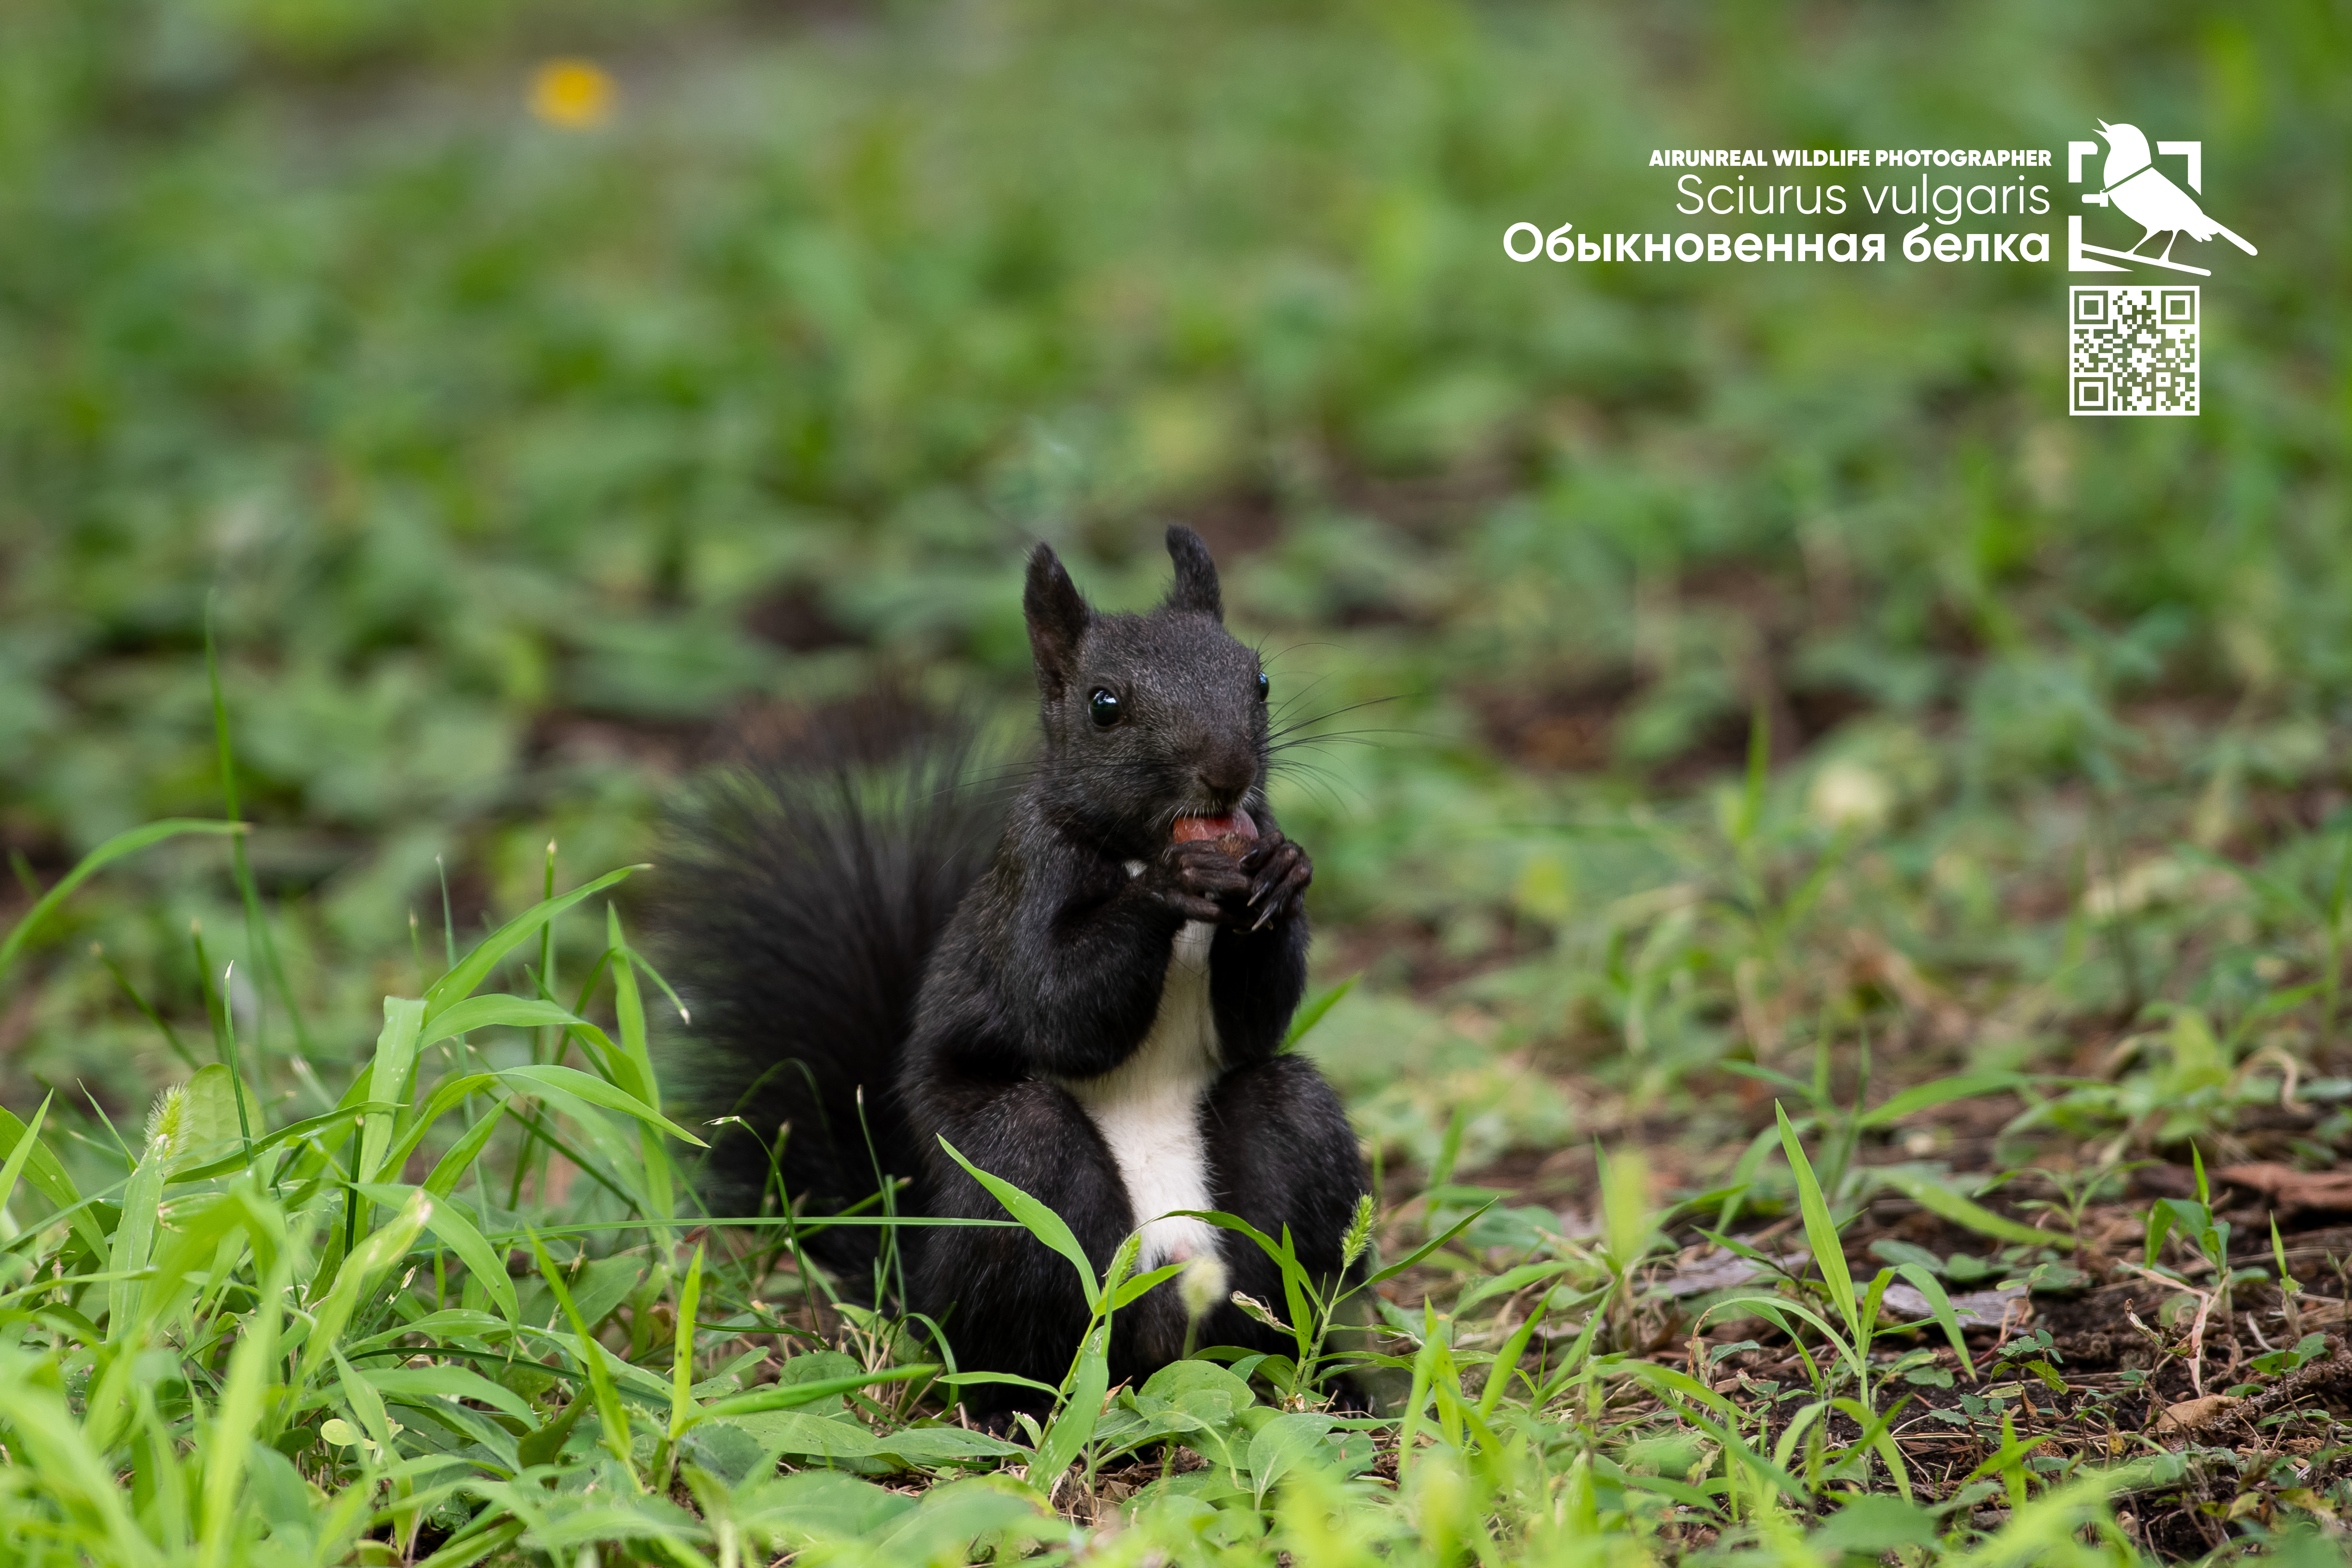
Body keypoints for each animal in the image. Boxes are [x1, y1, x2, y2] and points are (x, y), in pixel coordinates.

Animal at [659, 526, 1364, 1420]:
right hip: (1019, 1188)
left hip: (1274, 1200)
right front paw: (1167, 887)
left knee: (1283, 1203)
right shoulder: (1029, 883)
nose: (1229, 770)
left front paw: (1285, 869)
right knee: (1026, 1289)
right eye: (1105, 705)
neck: (1141, 845)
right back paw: (1010, 1404)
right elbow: (1059, 1010)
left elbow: (1254, 1020)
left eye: (1260, 680)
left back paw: (1335, 1381)